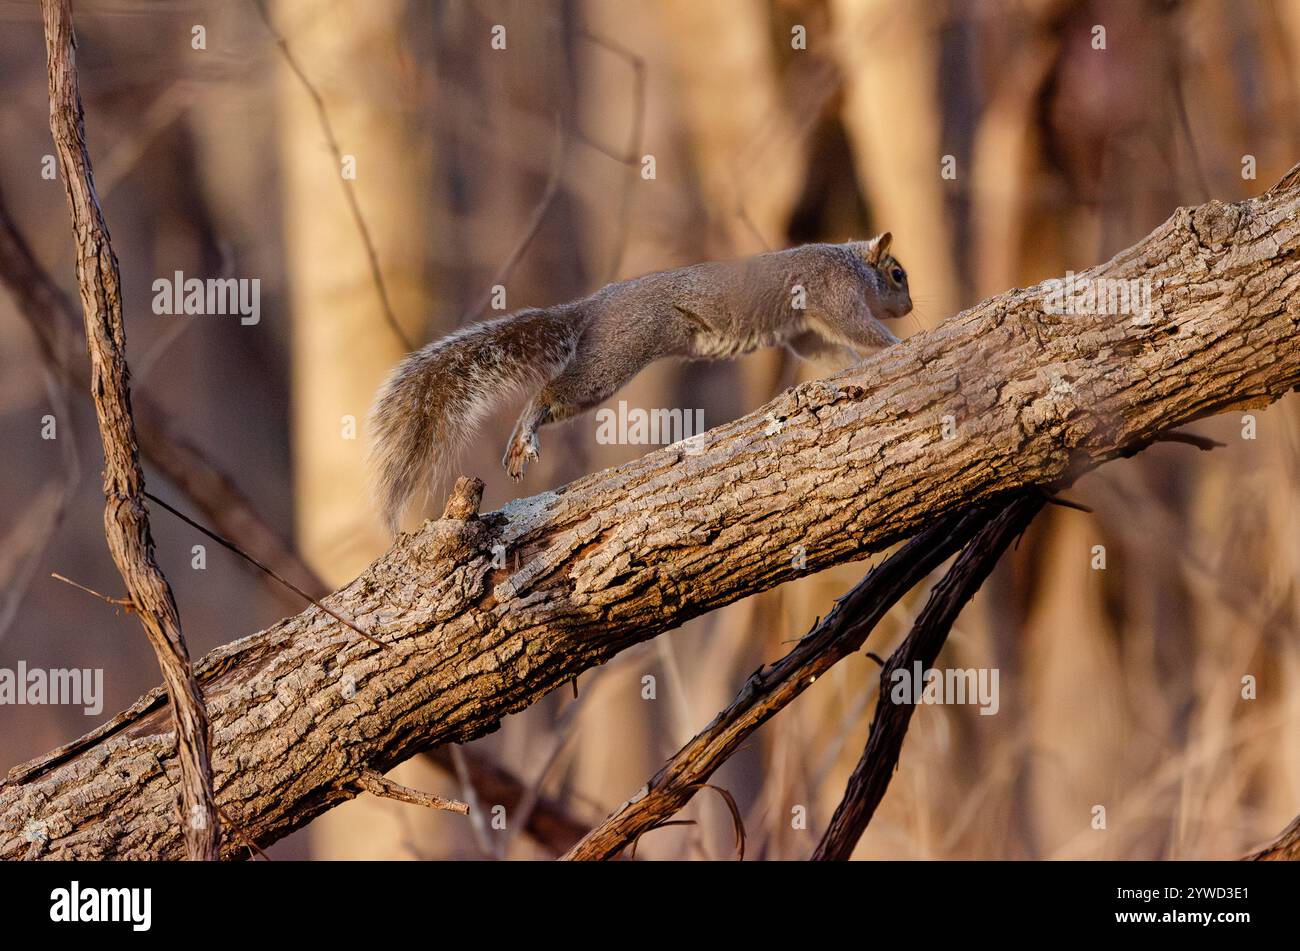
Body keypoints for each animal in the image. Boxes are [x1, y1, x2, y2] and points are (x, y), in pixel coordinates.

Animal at [368, 232, 911, 531]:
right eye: (898, 274)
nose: (907, 307)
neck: (850, 261)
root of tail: (595, 305)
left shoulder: (804, 329)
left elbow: (827, 348)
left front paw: (852, 362)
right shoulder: (833, 293)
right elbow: (855, 327)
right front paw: (893, 344)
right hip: (617, 353)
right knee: (549, 392)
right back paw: (525, 435)